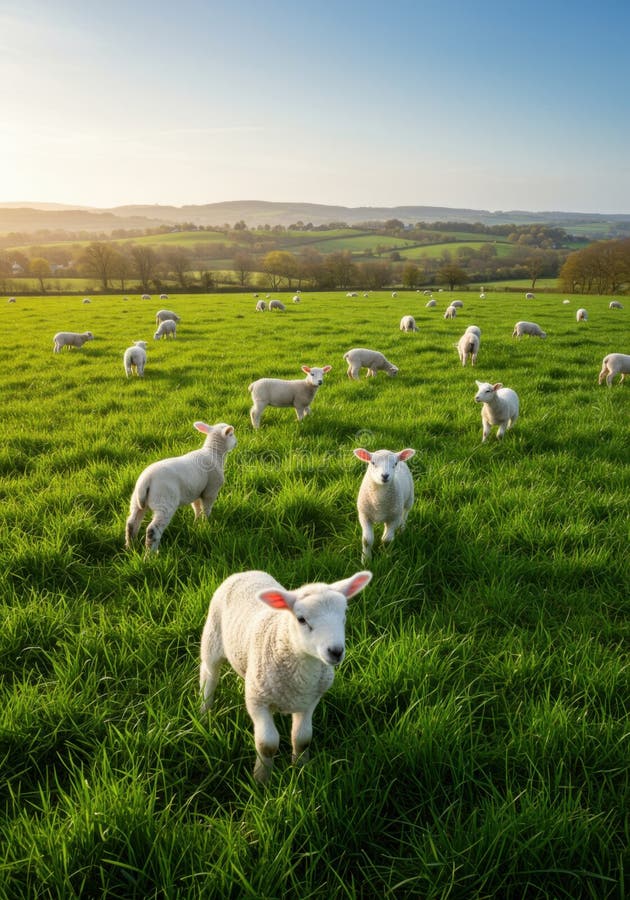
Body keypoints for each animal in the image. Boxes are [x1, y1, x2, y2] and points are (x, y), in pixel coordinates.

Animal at [125, 421, 236, 555]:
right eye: (231, 434)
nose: (236, 442)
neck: (214, 453)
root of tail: (146, 480)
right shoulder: (211, 490)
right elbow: (206, 509)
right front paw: (206, 523)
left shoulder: (196, 491)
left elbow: (197, 508)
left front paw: (197, 523)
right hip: (164, 502)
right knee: (153, 530)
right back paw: (151, 555)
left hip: (136, 501)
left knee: (131, 523)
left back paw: (130, 548)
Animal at [200, 568, 372, 782]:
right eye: (301, 619)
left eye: (345, 613)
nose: (335, 651)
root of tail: (246, 572)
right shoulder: (257, 701)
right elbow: (267, 745)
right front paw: (261, 779)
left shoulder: (310, 699)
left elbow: (302, 739)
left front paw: (300, 768)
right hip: (212, 638)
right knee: (209, 675)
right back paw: (204, 712)